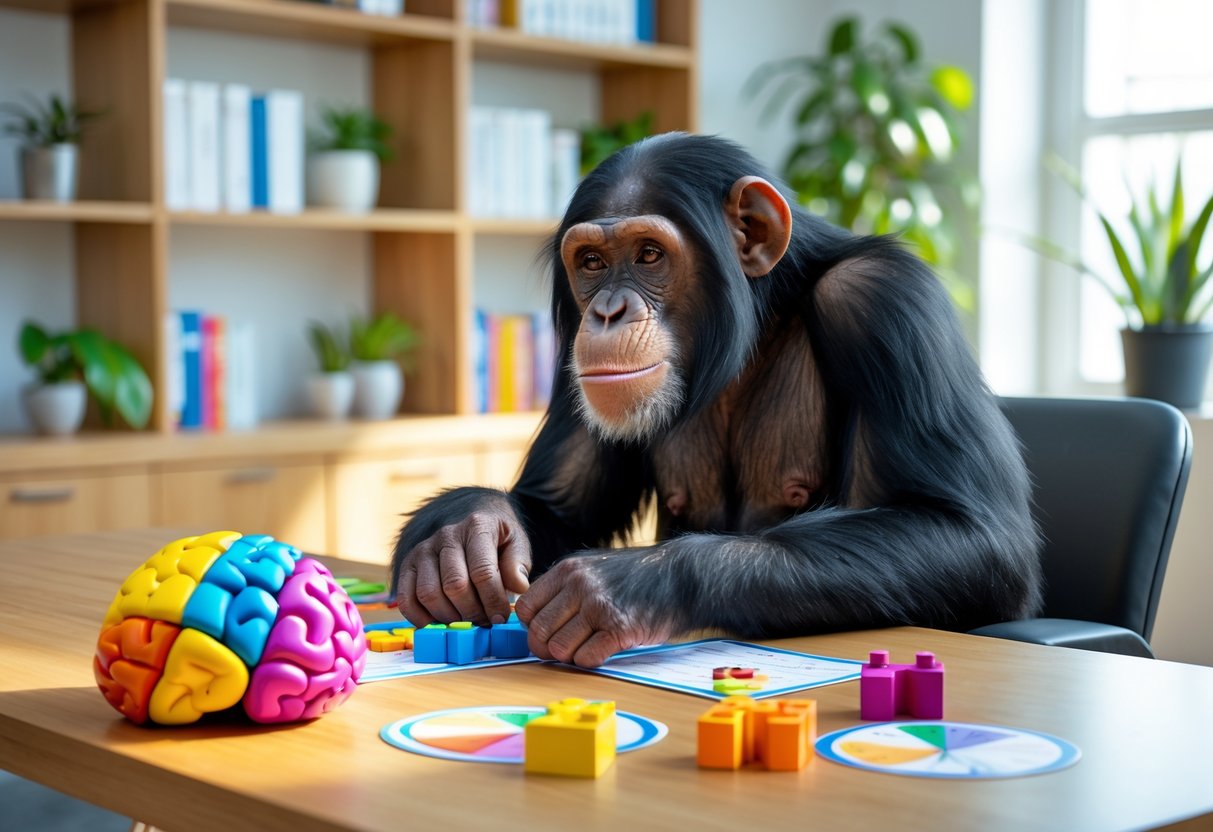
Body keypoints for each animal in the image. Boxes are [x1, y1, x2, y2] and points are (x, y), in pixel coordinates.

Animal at [390, 132, 1042, 668]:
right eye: (592, 262)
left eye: (649, 254)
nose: (606, 312)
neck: (761, 318)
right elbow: (559, 509)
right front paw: (464, 534)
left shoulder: (890, 301)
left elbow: (972, 535)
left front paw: (629, 586)